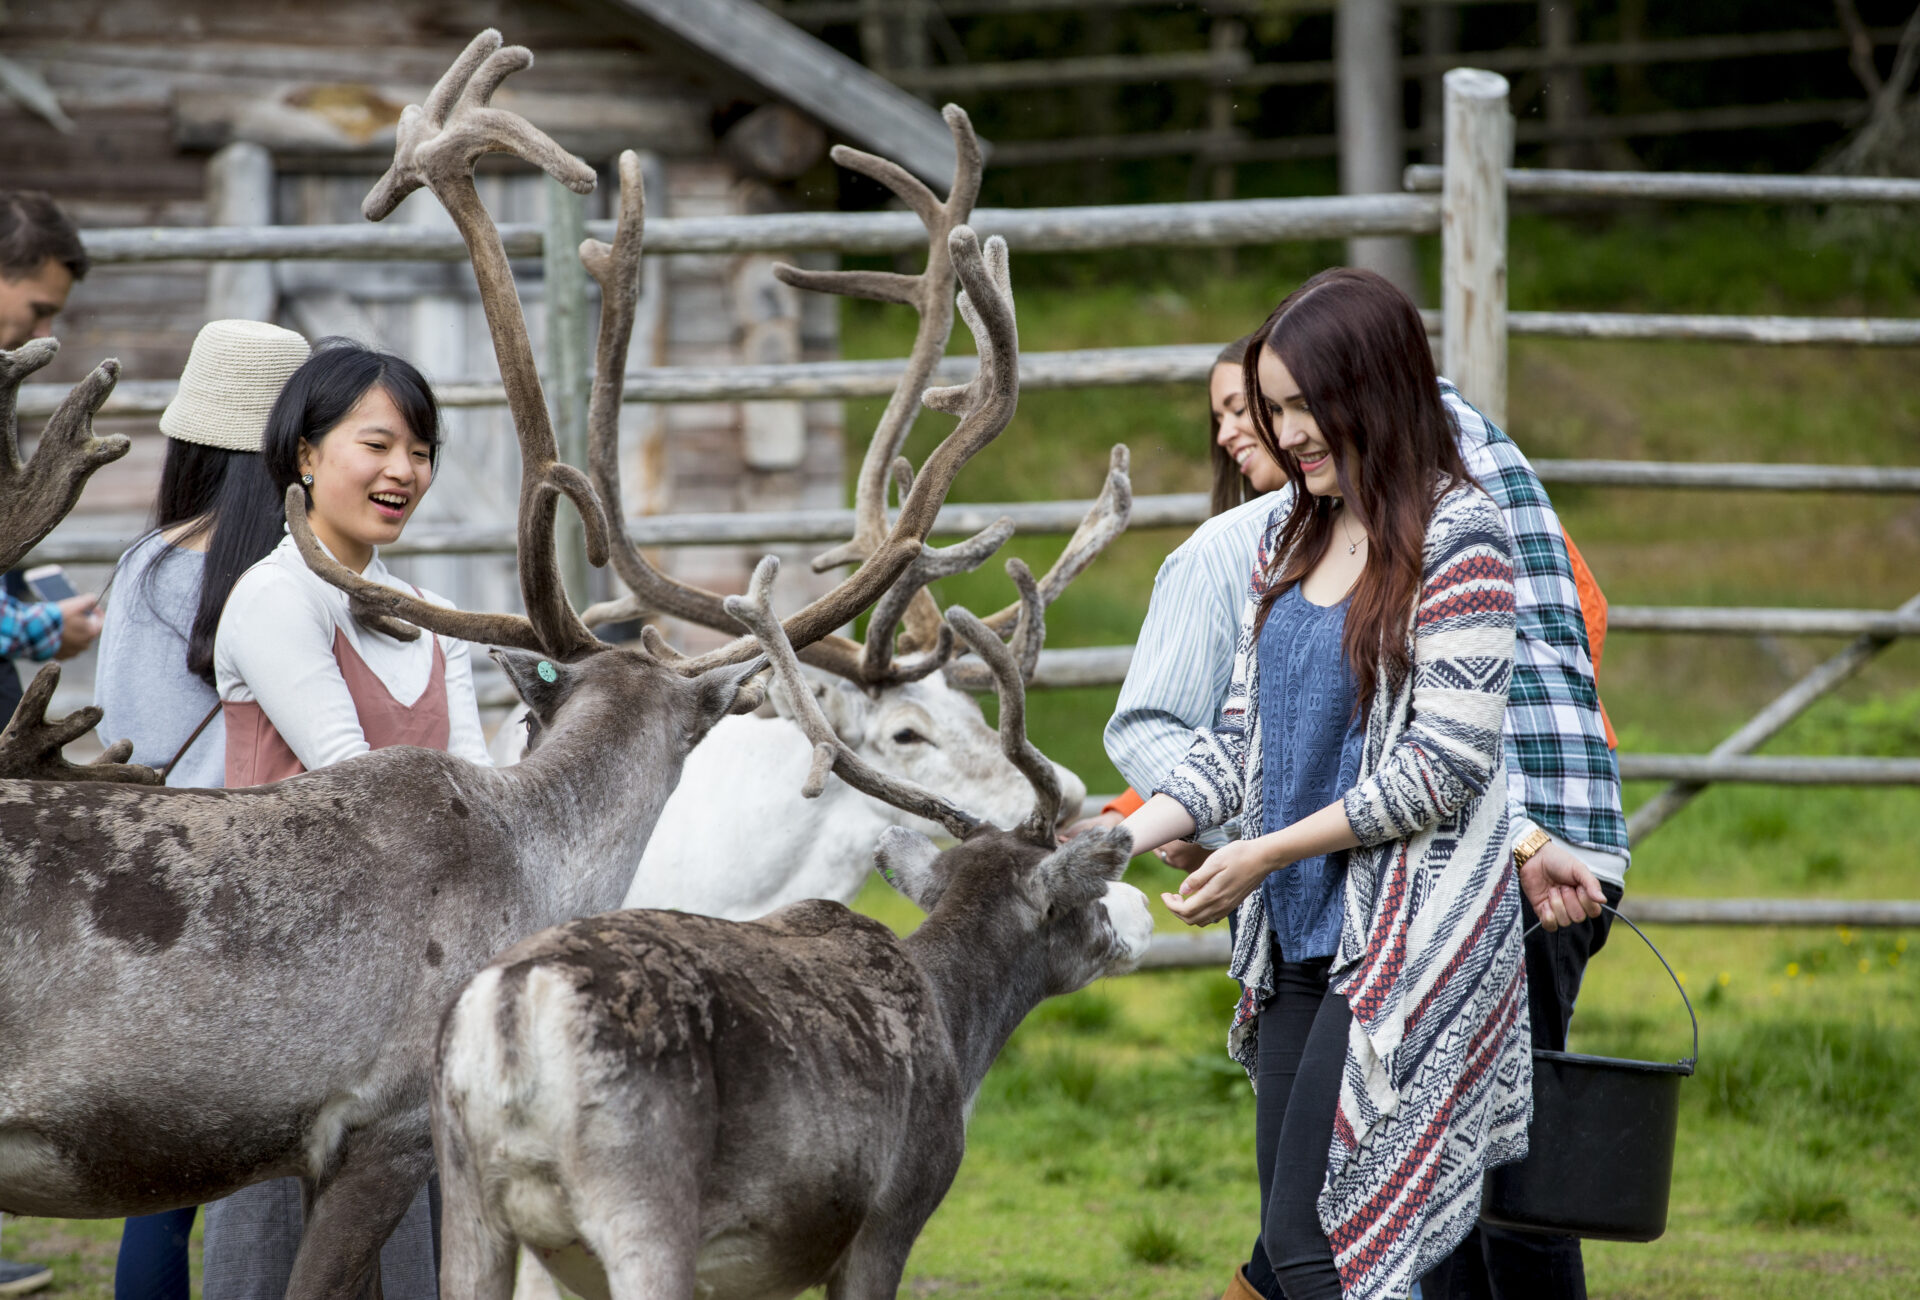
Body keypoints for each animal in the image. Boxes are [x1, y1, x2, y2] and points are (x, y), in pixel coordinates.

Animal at [434, 554, 1154, 1300]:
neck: (959, 1027)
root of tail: (512, 1012)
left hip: (470, 1204)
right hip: (644, 1211)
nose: (1143, 909)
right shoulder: (892, 1217)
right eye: (1086, 894)